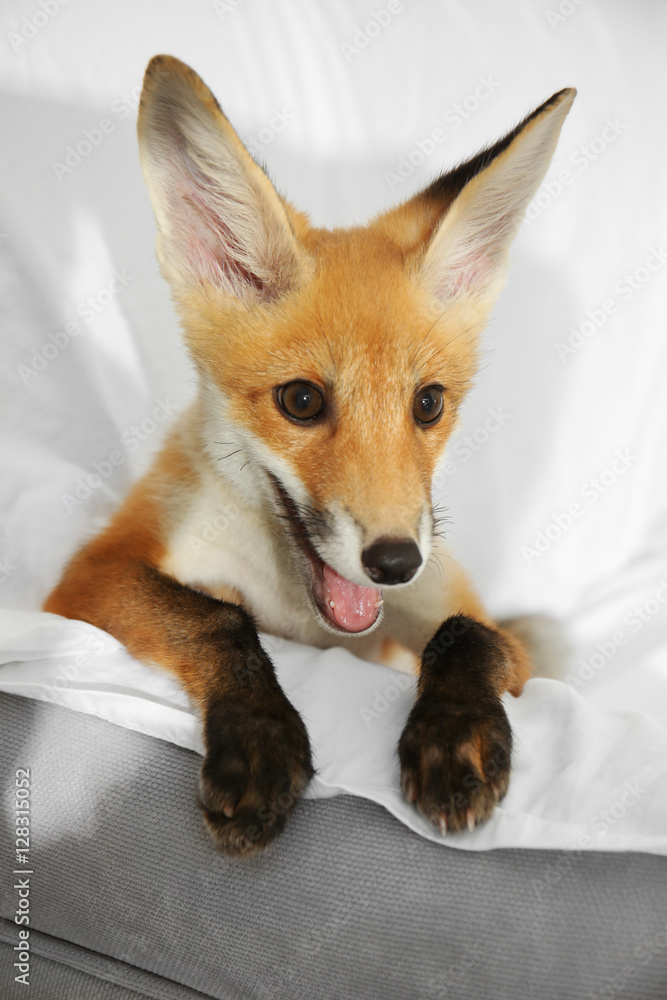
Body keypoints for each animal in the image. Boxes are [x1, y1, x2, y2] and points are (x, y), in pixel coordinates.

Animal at [44, 55, 575, 855]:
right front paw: (260, 741)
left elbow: (470, 637)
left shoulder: (467, 620)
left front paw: (455, 738)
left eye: (428, 405)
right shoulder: (94, 575)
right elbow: (213, 617)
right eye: (301, 401)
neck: (304, 619)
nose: (394, 561)